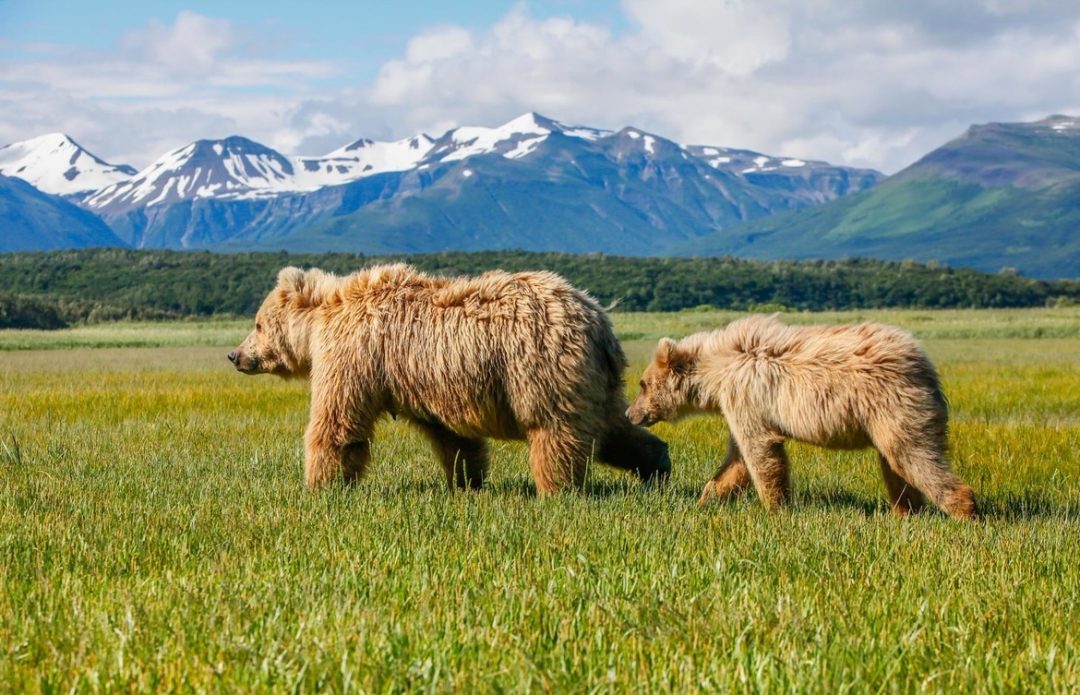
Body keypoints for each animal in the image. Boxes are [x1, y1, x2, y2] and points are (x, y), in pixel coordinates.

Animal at [229, 264, 671, 492]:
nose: (235, 355)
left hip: (541, 369)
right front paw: (466, 480)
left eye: (257, 323)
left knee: (555, 430)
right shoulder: (424, 386)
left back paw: (557, 489)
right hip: (593, 380)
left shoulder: (354, 357)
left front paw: (322, 484)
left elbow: (338, 422)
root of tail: (600, 323)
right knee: (612, 427)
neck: (322, 320)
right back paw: (656, 465)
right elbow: (452, 438)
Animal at [626, 314, 978, 519]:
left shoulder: (746, 397)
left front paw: (775, 508)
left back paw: (965, 512)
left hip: (894, 407)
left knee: (914, 457)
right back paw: (905, 513)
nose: (631, 413)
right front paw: (705, 500)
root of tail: (925, 366)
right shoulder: (742, 407)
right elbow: (737, 459)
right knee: (895, 466)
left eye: (642, 383)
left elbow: (761, 452)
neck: (717, 372)